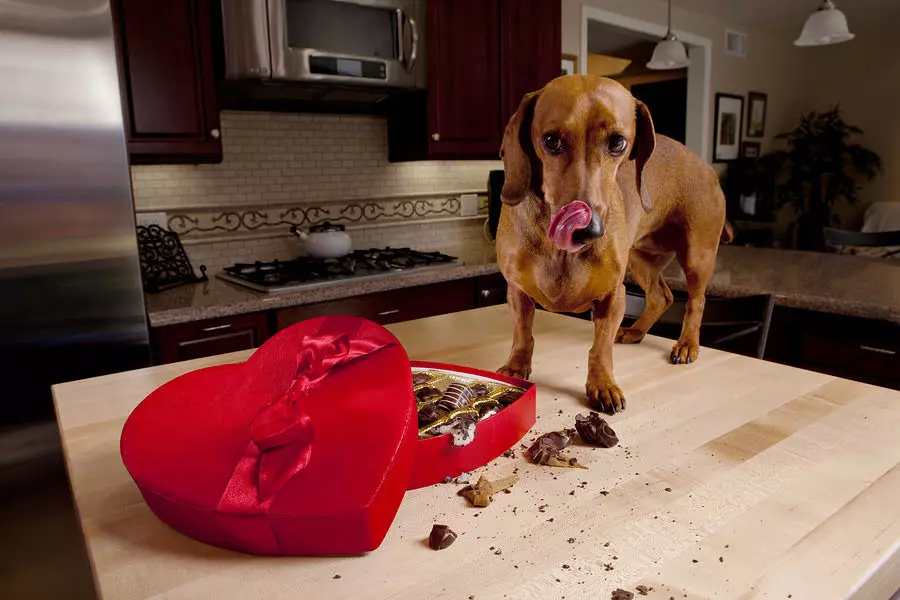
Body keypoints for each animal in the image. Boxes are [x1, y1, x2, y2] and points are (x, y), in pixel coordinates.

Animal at [496, 74, 728, 412]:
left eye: (618, 142)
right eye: (551, 140)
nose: (588, 230)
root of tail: (707, 167)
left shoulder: (613, 296)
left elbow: (600, 347)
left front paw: (602, 384)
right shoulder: (517, 291)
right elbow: (523, 333)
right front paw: (516, 366)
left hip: (698, 256)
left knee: (695, 302)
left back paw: (686, 344)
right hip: (640, 259)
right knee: (661, 296)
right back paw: (636, 331)